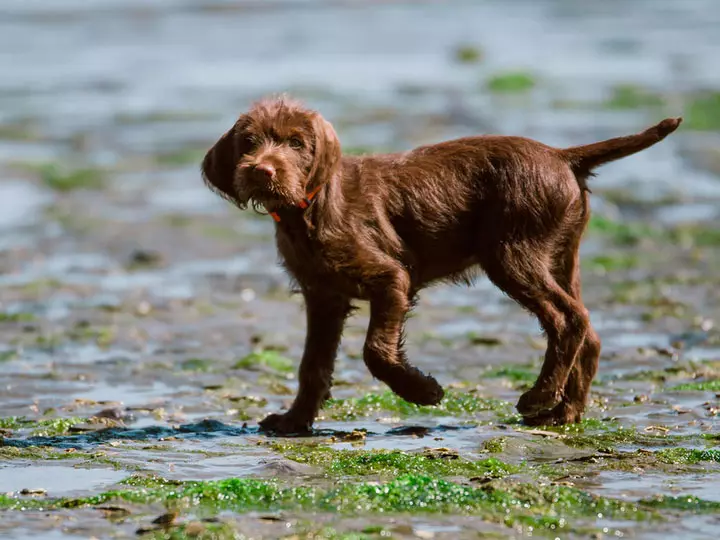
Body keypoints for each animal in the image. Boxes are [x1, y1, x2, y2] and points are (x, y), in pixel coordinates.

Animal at [201, 96, 680, 434]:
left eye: (297, 144)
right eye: (249, 143)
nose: (262, 171)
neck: (309, 208)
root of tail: (561, 155)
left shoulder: (390, 277)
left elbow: (375, 351)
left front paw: (423, 391)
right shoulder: (323, 297)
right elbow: (312, 366)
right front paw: (295, 421)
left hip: (512, 254)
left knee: (568, 320)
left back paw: (539, 398)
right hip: (560, 256)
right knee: (589, 330)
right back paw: (564, 413)